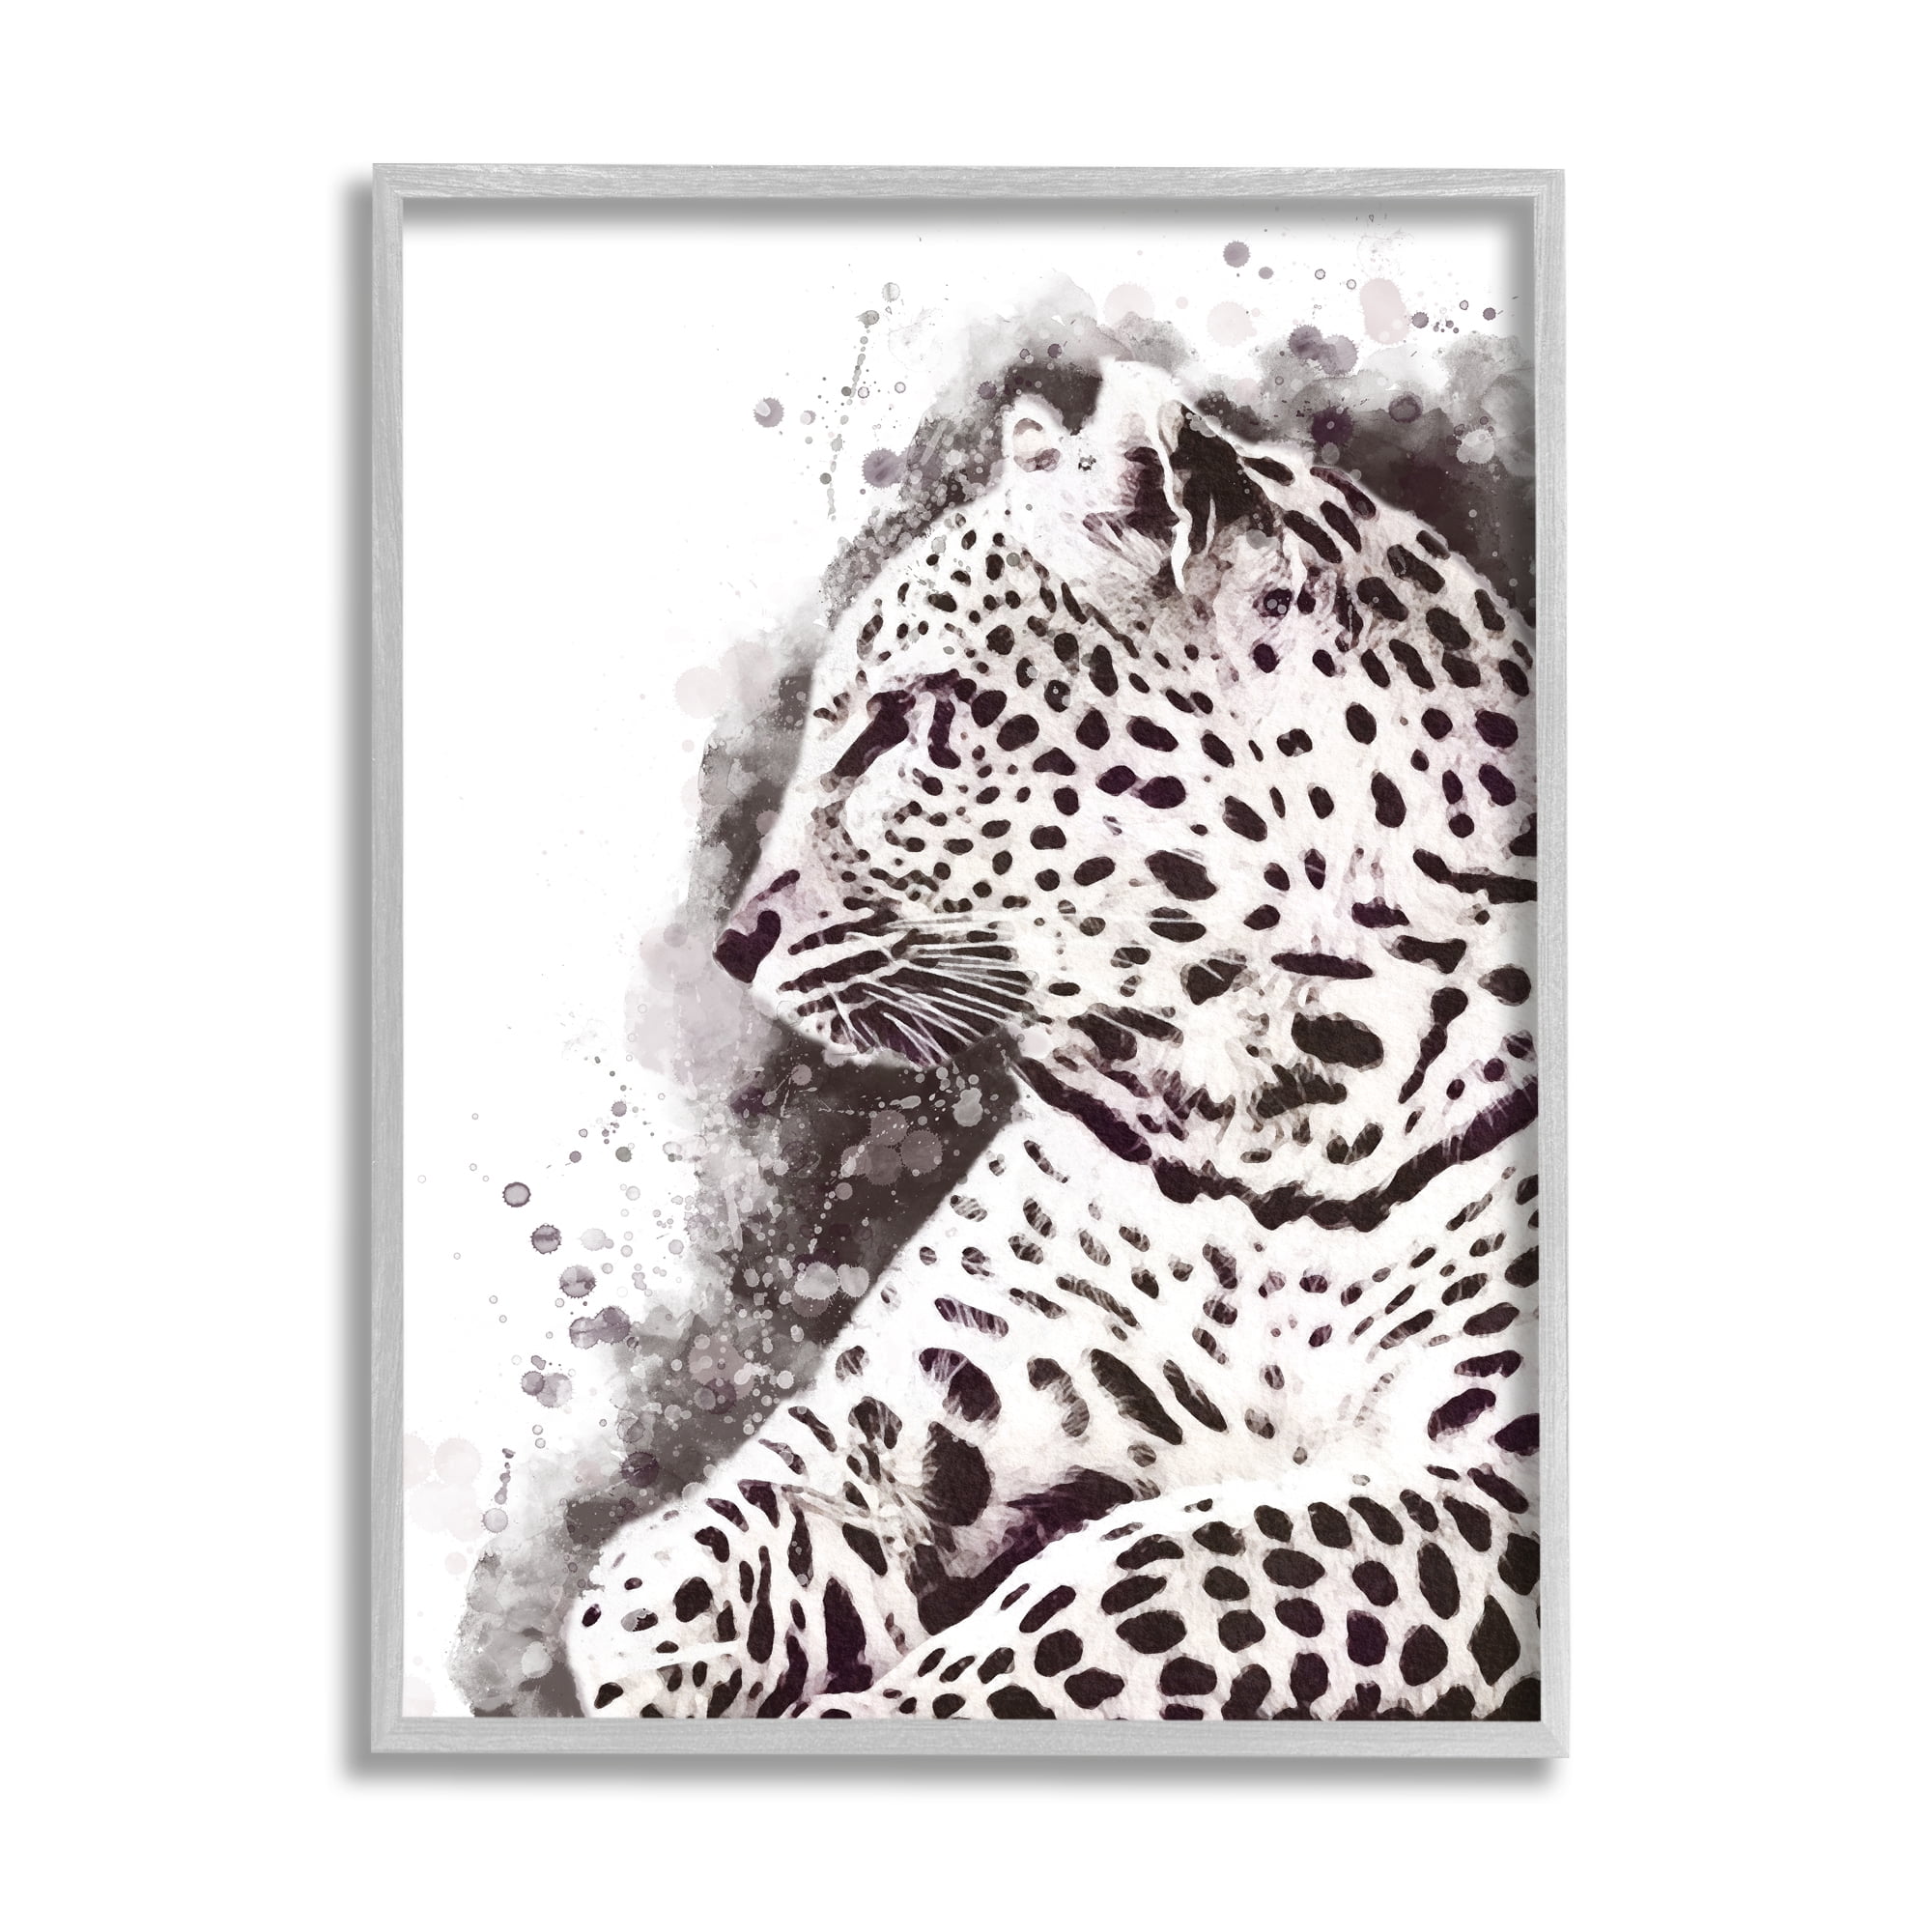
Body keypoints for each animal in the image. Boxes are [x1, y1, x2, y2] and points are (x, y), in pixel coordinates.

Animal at [566, 361, 1542, 1723]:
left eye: (902, 722)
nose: (734, 940)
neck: (1259, 1113)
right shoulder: (889, 1430)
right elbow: (675, 1565)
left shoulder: (1487, 1480)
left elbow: (1148, 1578)